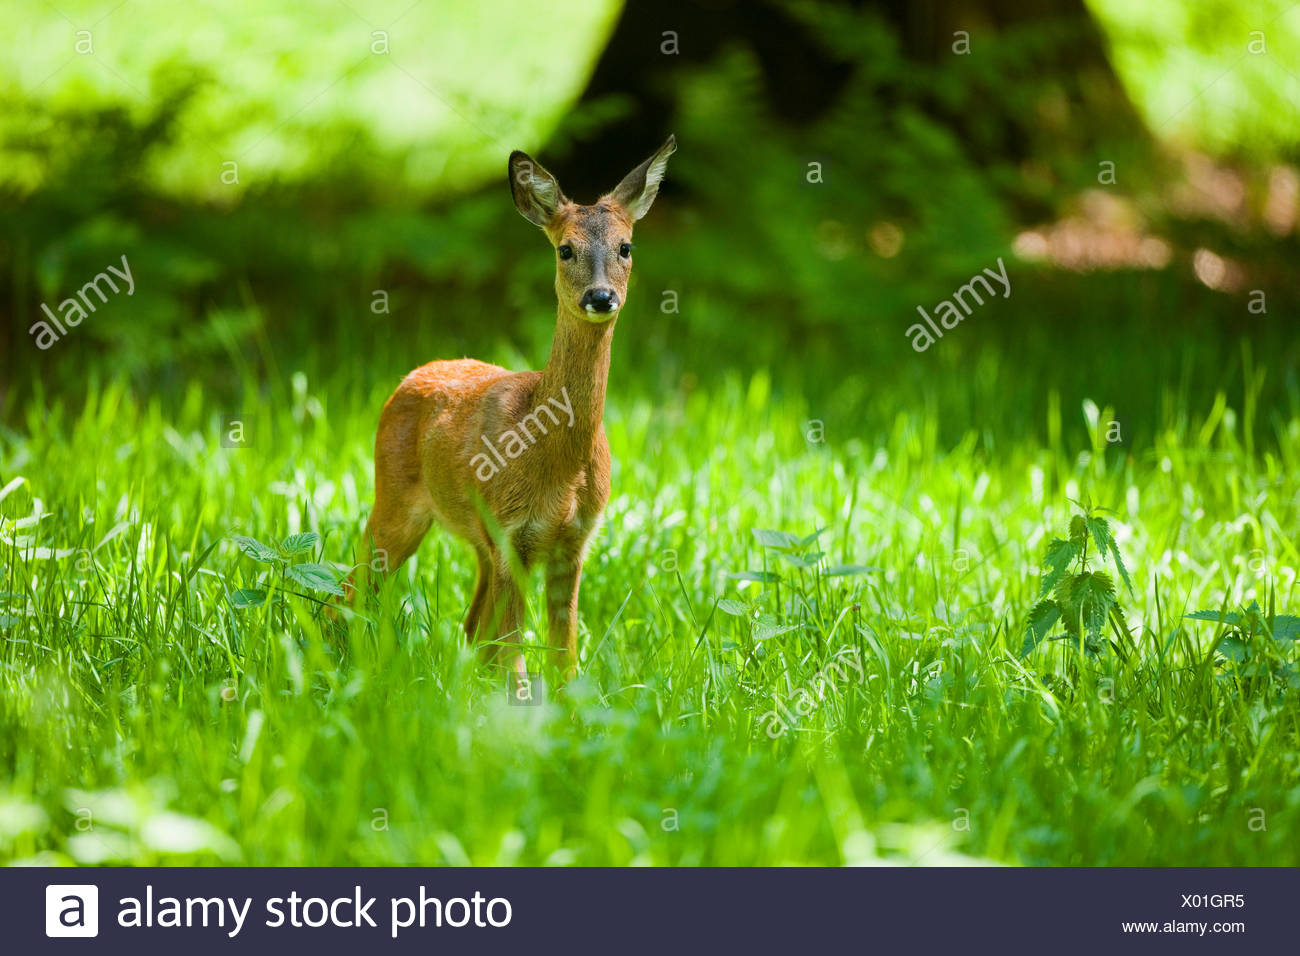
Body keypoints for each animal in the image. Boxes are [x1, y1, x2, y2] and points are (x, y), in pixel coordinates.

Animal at [346, 136, 677, 685]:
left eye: (626, 247)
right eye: (565, 249)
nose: (601, 296)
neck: (558, 463)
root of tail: (409, 377)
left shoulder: (573, 542)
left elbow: (563, 654)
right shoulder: (512, 535)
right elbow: (513, 653)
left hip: (477, 542)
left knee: (469, 627)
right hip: (394, 499)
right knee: (351, 589)